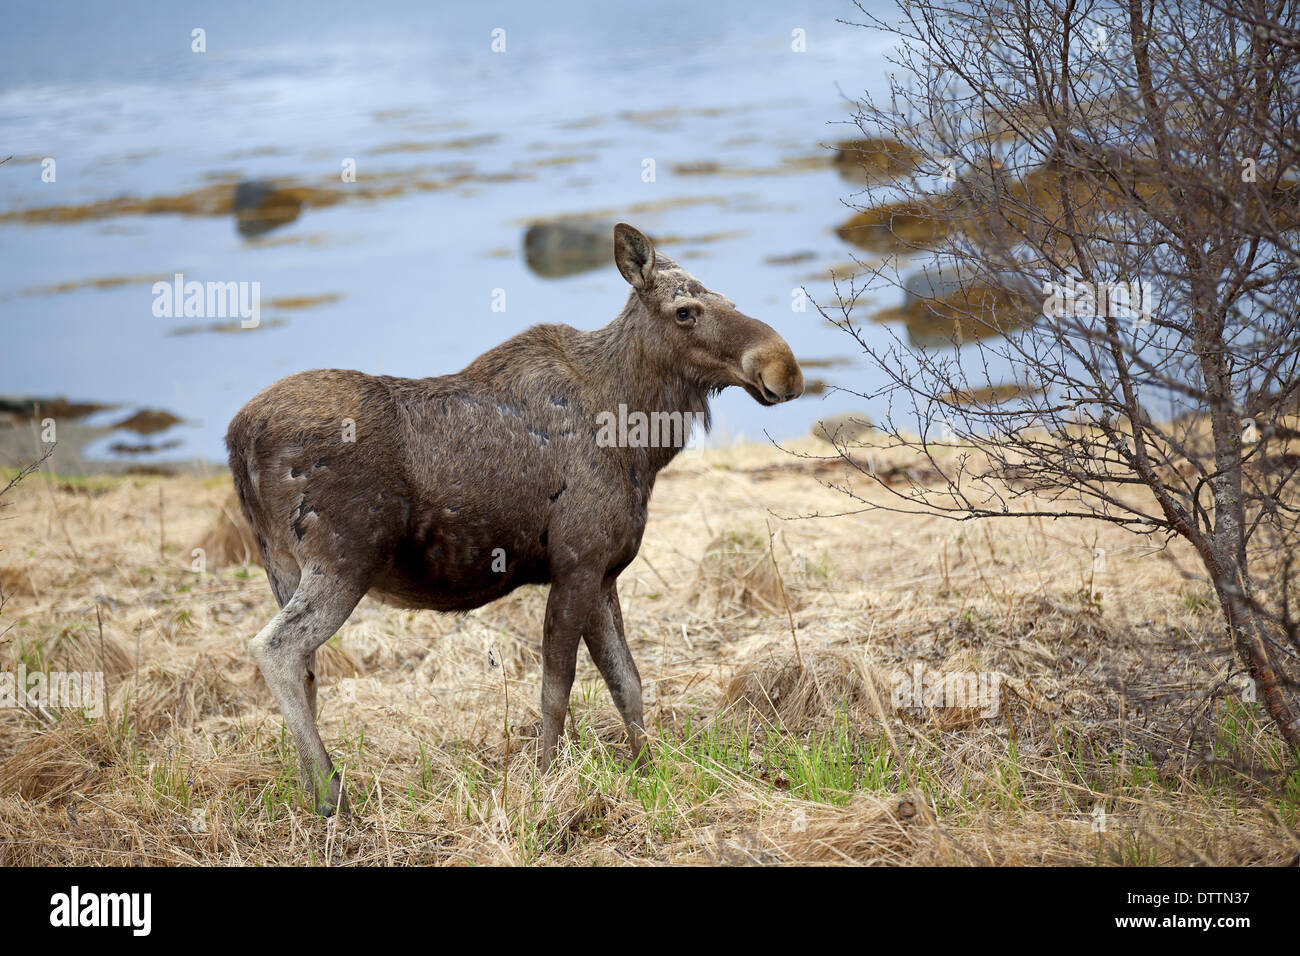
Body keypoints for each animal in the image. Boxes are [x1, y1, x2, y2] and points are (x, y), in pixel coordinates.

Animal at [226, 223, 803, 815]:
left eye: (728, 300)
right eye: (685, 311)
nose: (783, 367)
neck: (639, 443)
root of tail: (237, 437)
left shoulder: (604, 573)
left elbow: (627, 682)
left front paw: (648, 770)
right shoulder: (576, 563)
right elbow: (557, 688)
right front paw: (547, 779)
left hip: (282, 564)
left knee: (306, 667)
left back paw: (307, 790)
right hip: (344, 561)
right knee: (275, 648)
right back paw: (331, 794)